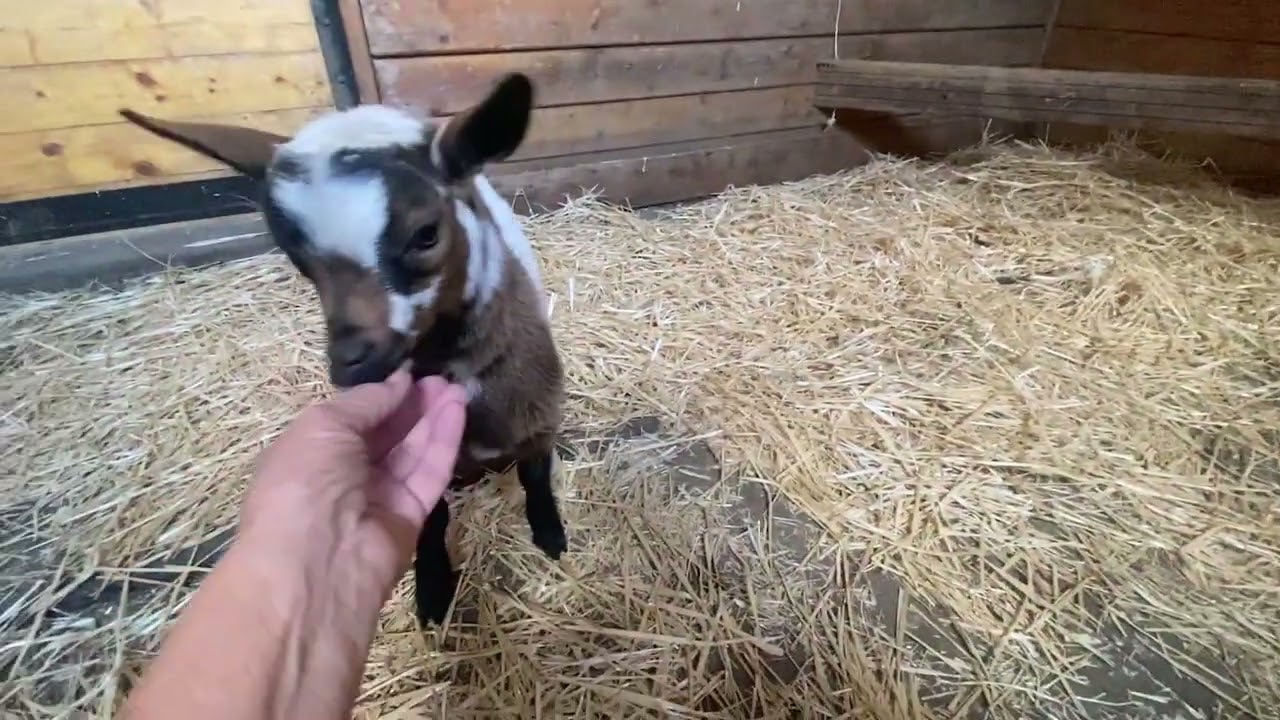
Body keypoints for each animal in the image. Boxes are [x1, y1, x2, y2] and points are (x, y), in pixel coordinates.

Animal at [119, 73, 568, 626]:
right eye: (295, 256)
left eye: (426, 233)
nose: (351, 362)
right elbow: (431, 514)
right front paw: (433, 590)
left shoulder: (539, 414)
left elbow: (535, 473)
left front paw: (550, 535)